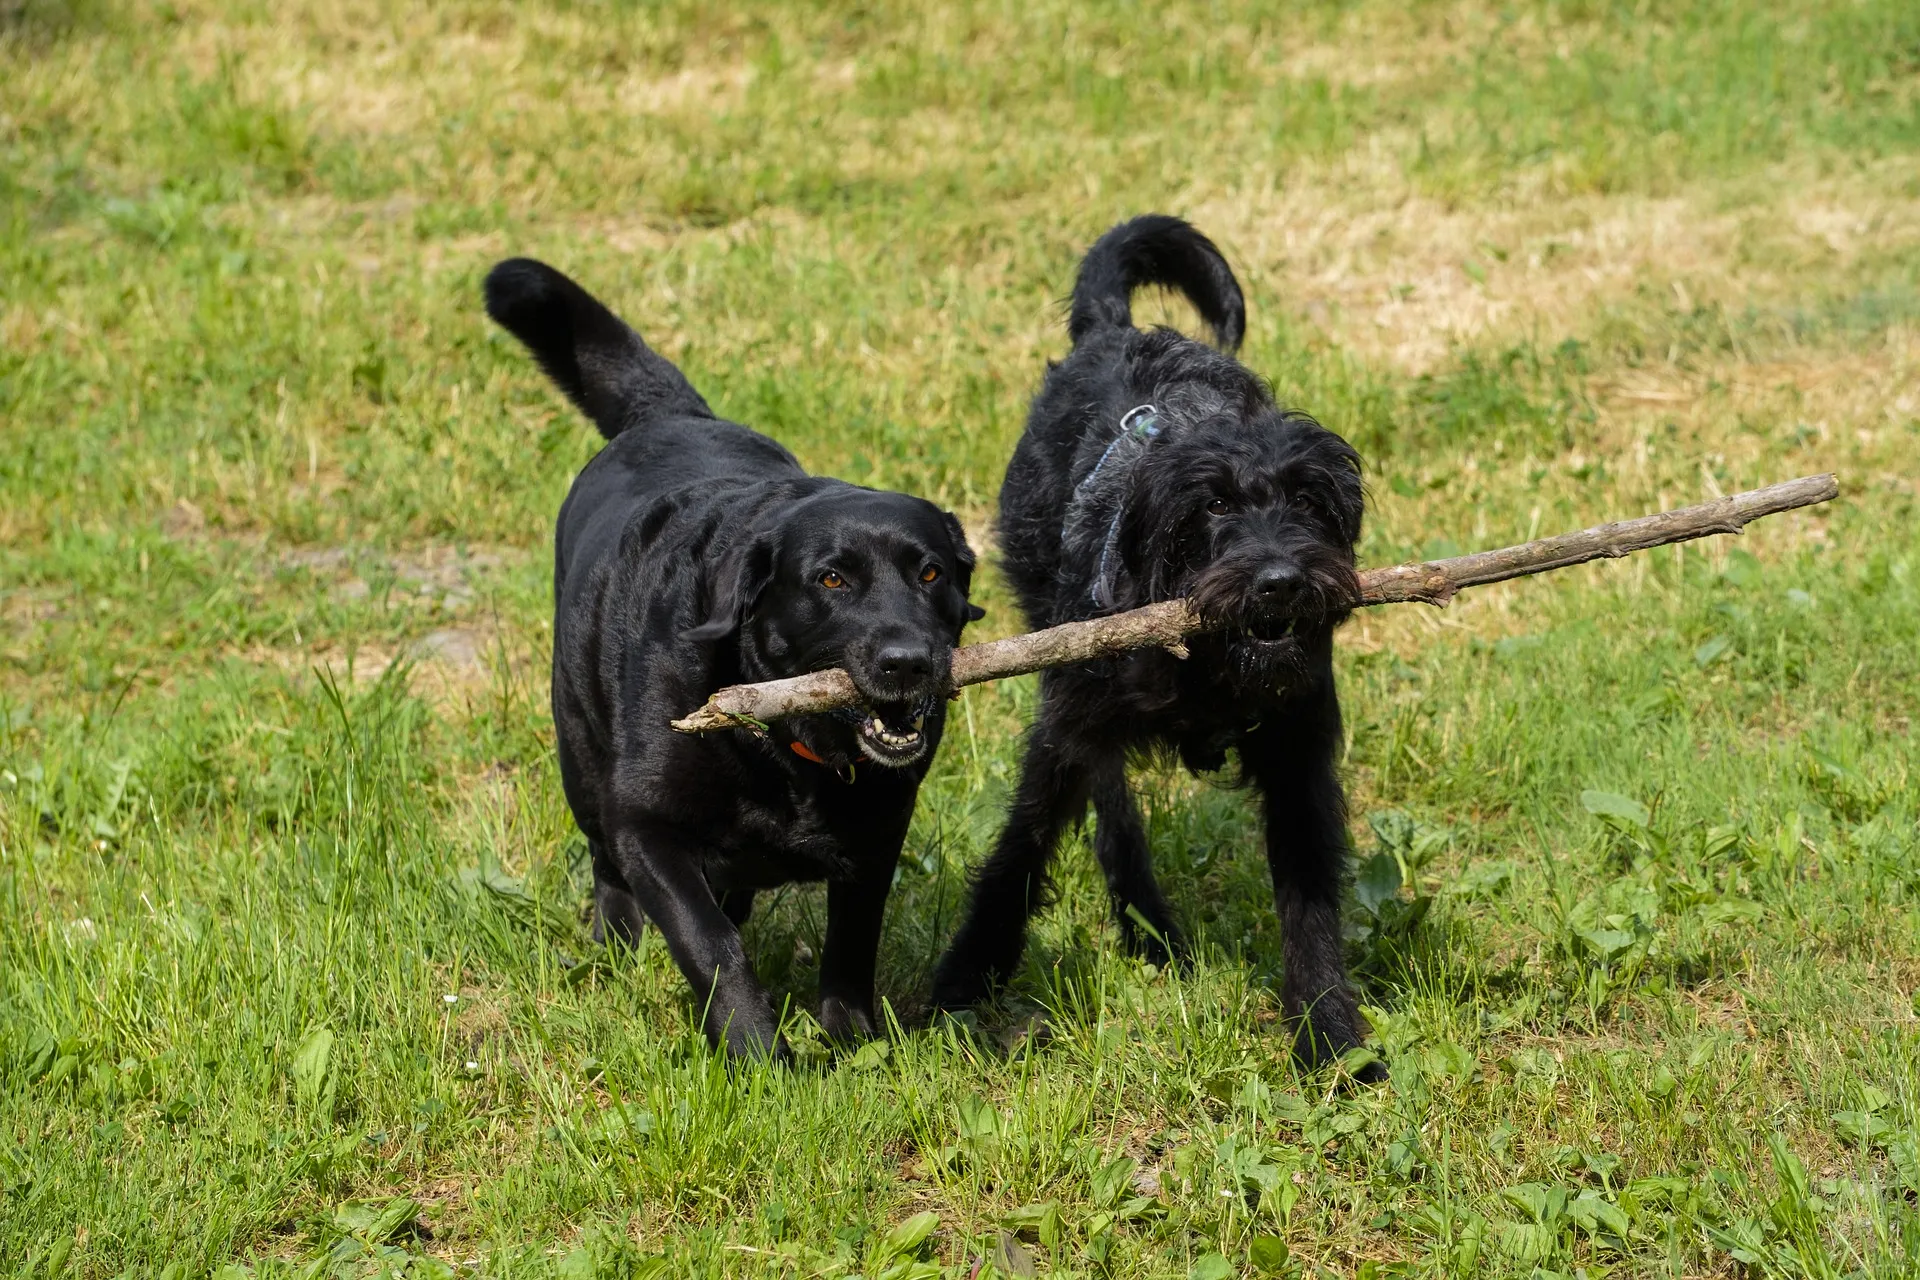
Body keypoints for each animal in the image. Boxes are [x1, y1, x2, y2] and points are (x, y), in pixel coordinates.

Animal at [487, 257, 983, 1059]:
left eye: (932, 573)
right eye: (831, 579)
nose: (910, 660)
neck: (790, 752)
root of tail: (670, 416)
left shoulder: (881, 828)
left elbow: (853, 941)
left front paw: (851, 1041)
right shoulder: (646, 826)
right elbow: (711, 943)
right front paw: (759, 1053)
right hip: (580, 756)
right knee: (608, 867)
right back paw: (615, 946)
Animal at [929, 214, 1382, 1074]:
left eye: (1309, 500)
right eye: (1212, 507)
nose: (1279, 582)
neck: (1207, 672)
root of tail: (1114, 329)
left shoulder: (1298, 754)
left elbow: (1311, 904)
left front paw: (1329, 1035)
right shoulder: (1066, 725)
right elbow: (1021, 847)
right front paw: (963, 977)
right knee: (1112, 804)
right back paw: (1146, 920)